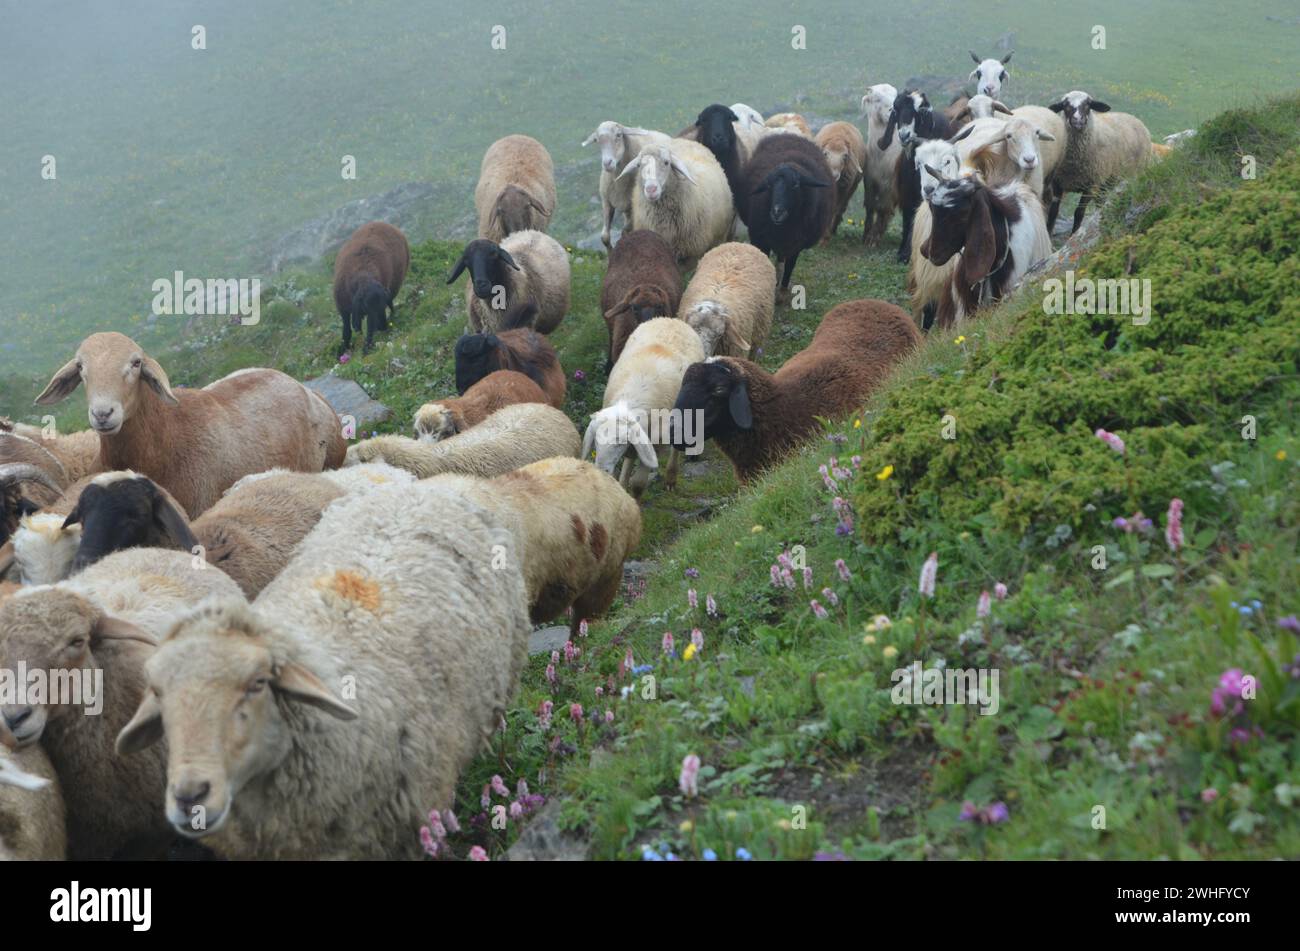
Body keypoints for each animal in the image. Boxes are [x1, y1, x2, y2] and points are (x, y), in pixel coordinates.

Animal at [332, 221, 410, 356]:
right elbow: (346, 330)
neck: (364, 275)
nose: (384, 327)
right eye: (367, 305)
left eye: (383, 305)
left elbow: (369, 327)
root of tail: (381, 222)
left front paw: (366, 349)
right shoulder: (344, 309)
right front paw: (343, 349)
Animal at [581, 317, 703, 498]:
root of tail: (670, 319)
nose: (602, 472)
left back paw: (671, 478)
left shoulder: (655, 443)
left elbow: (638, 484)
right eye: (595, 440)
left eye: (619, 442)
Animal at [740, 133, 834, 295]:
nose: (777, 212)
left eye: (795, 184)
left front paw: (782, 291)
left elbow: (790, 265)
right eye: (769, 185)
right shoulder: (761, 238)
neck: (784, 228)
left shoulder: (797, 243)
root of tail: (789, 134)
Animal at [859, 83, 901, 244]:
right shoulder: (869, 179)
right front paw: (866, 233)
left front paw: (873, 238)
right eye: (877, 99)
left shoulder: (889, 185)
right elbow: (870, 205)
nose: (893, 112)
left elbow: (882, 208)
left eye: (896, 97)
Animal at [1047, 91, 1154, 233]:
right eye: (1065, 105)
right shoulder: (1057, 183)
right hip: (1106, 183)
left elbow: (1079, 213)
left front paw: (1074, 233)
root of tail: (1135, 118)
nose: (1078, 120)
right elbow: (1053, 212)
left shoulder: (1092, 184)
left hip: (1131, 176)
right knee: (1101, 204)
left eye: (1088, 104)